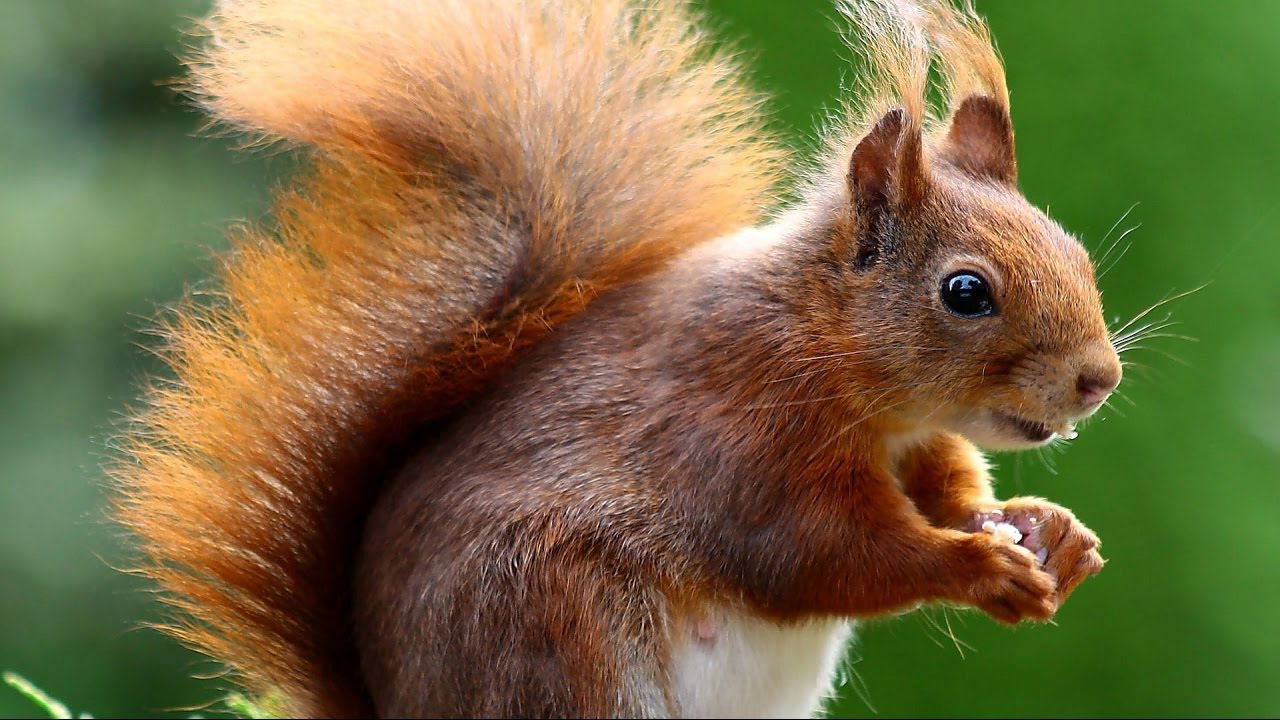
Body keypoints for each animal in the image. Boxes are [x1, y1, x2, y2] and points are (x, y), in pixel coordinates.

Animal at [111, 0, 1123, 717]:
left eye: (1074, 251)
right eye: (966, 291)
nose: (1099, 378)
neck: (841, 363)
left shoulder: (917, 444)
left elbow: (951, 491)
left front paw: (1047, 530)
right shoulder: (740, 434)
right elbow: (822, 556)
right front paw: (980, 568)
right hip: (558, 631)